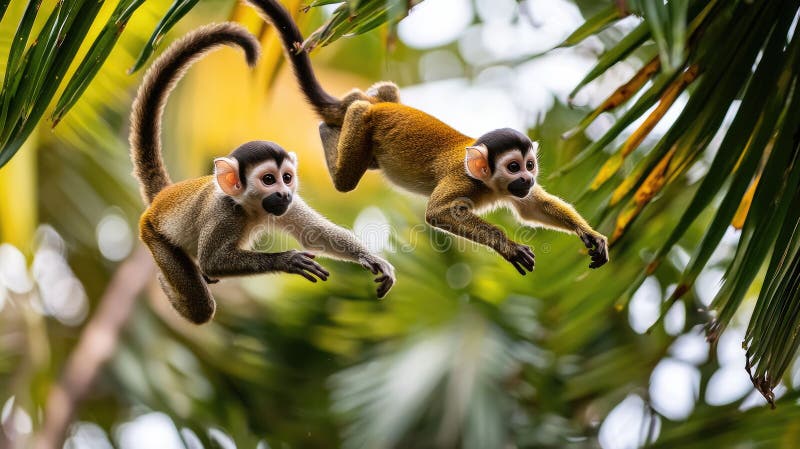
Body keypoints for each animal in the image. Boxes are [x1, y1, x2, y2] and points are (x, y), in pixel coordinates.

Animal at [130, 23, 395, 324]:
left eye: (287, 178)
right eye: (269, 179)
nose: (283, 193)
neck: (249, 207)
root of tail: (162, 197)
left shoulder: (289, 204)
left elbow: (315, 234)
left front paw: (372, 259)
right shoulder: (224, 213)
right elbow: (213, 262)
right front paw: (287, 260)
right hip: (152, 233)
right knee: (201, 307)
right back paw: (169, 286)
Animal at [245, 0, 609, 274]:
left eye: (529, 166)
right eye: (513, 167)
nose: (528, 179)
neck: (487, 182)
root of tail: (380, 108)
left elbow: (531, 208)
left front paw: (588, 233)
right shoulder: (463, 179)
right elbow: (438, 214)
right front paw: (508, 246)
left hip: (380, 108)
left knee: (377, 97)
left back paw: (357, 101)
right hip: (362, 129)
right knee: (347, 169)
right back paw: (337, 123)